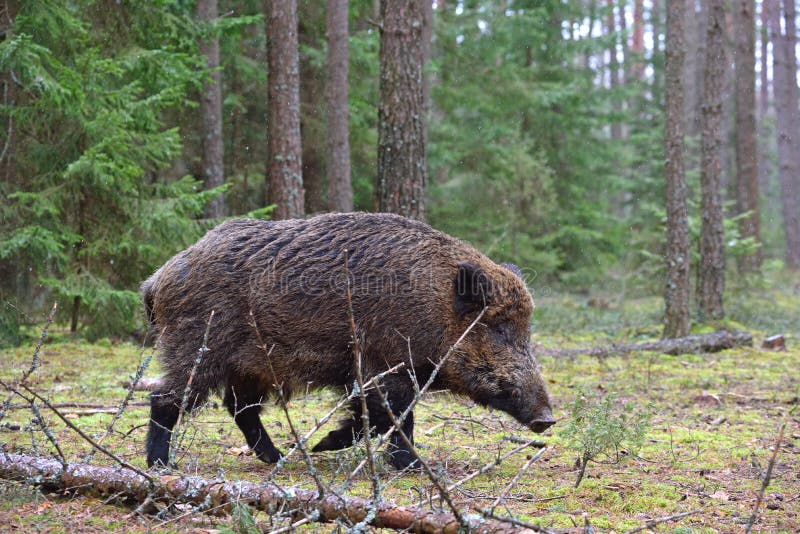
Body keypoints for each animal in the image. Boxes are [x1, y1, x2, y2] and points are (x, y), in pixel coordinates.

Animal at [142, 212, 554, 470]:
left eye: (527, 328)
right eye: (498, 327)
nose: (547, 419)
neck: (436, 307)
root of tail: (158, 277)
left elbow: (378, 419)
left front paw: (322, 445)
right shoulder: (385, 368)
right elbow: (392, 419)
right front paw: (411, 467)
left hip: (251, 366)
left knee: (240, 408)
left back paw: (278, 458)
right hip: (198, 346)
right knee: (165, 397)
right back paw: (160, 465)